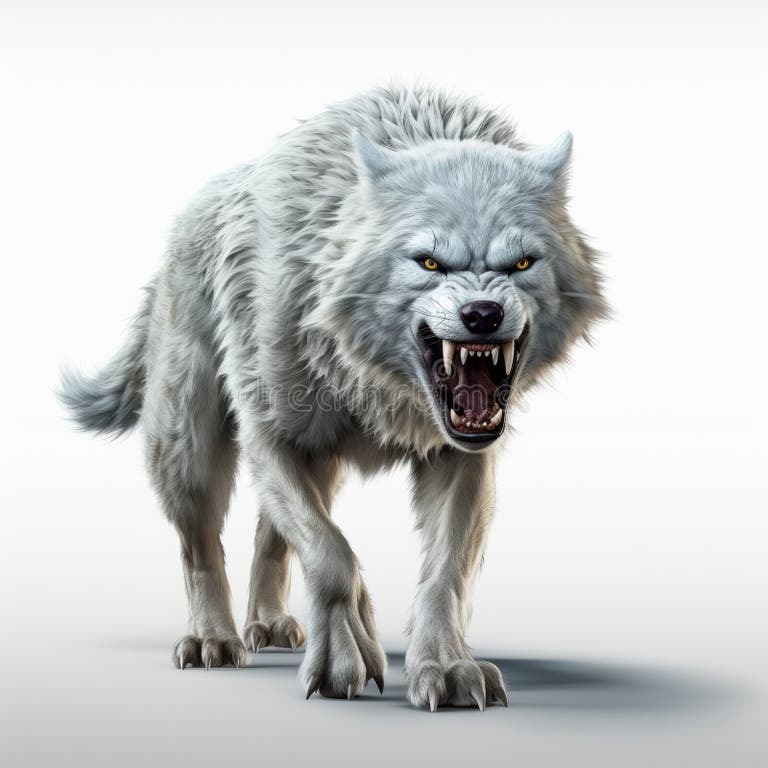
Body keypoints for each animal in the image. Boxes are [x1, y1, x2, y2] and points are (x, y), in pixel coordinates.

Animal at [60, 85, 607, 711]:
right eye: (429, 262)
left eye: (520, 264)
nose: (483, 315)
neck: (374, 379)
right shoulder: (270, 435)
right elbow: (331, 556)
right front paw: (346, 658)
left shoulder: (461, 457)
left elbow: (446, 573)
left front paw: (445, 667)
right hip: (188, 447)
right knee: (200, 543)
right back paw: (213, 640)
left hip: (319, 460)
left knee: (268, 534)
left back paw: (269, 626)